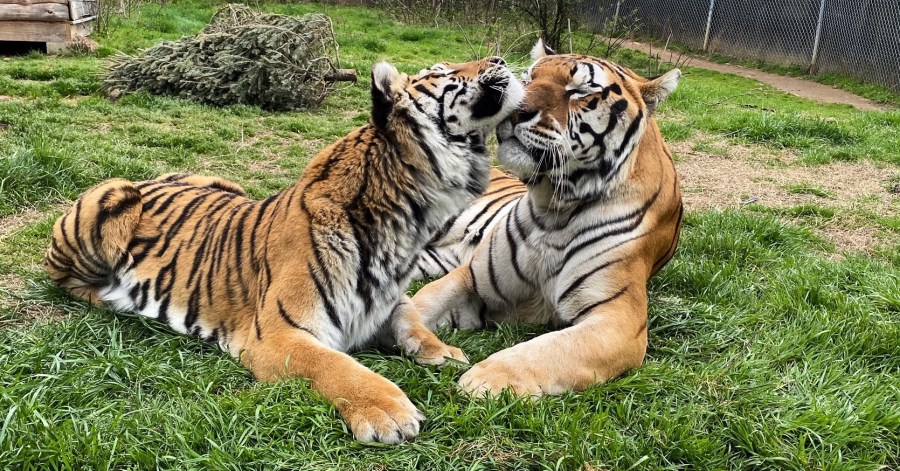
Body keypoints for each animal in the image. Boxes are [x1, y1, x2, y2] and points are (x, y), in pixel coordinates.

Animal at [45, 57, 524, 443]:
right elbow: (336, 367)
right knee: (61, 277)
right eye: (442, 72)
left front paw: (444, 352)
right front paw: (388, 411)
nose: (501, 59)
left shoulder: (387, 301)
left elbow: (411, 320)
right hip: (112, 195)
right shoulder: (278, 334)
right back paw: (112, 298)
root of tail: (153, 179)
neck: (408, 219)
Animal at [398, 40, 684, 397]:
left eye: (579, 91)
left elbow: (556, 348)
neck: (554, 208)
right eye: (529, 77)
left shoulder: (619, 318)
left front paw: (485, 379)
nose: (515, 109)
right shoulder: (471, 276)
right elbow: (420, 302)